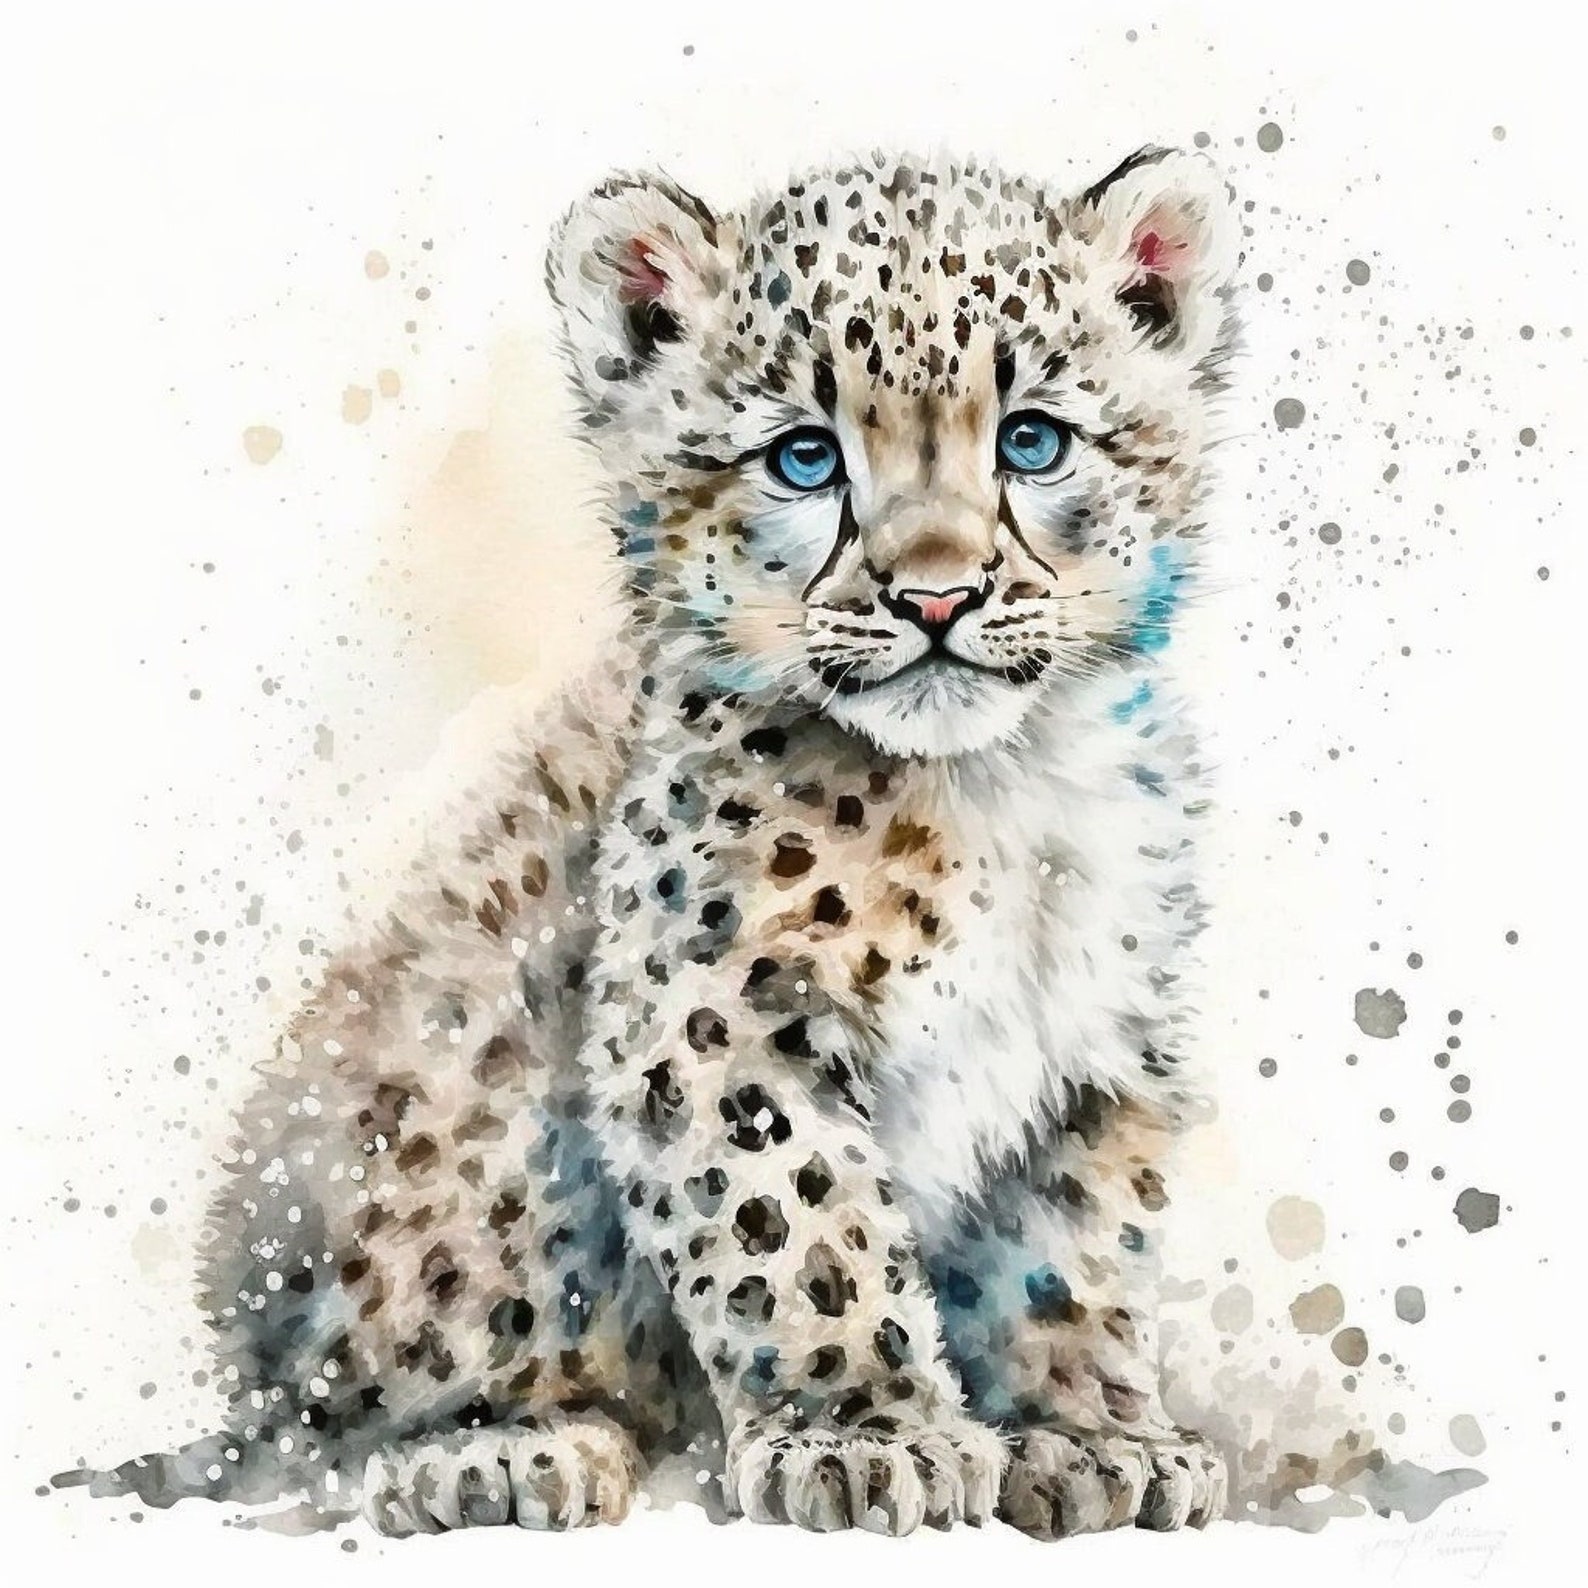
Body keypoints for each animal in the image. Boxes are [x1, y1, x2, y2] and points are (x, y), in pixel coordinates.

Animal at [57, 145, 1242, 1540]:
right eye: (804, 458)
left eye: (1031, 440)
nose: (936, 596)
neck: (1002, 789)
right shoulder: (719, 1011)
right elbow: (803, 1228)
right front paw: (865, 1433)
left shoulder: (1095, 1048)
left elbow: (1072, 1251)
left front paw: (1091, 1435)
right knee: (342, 1427)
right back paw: (507, 1454)